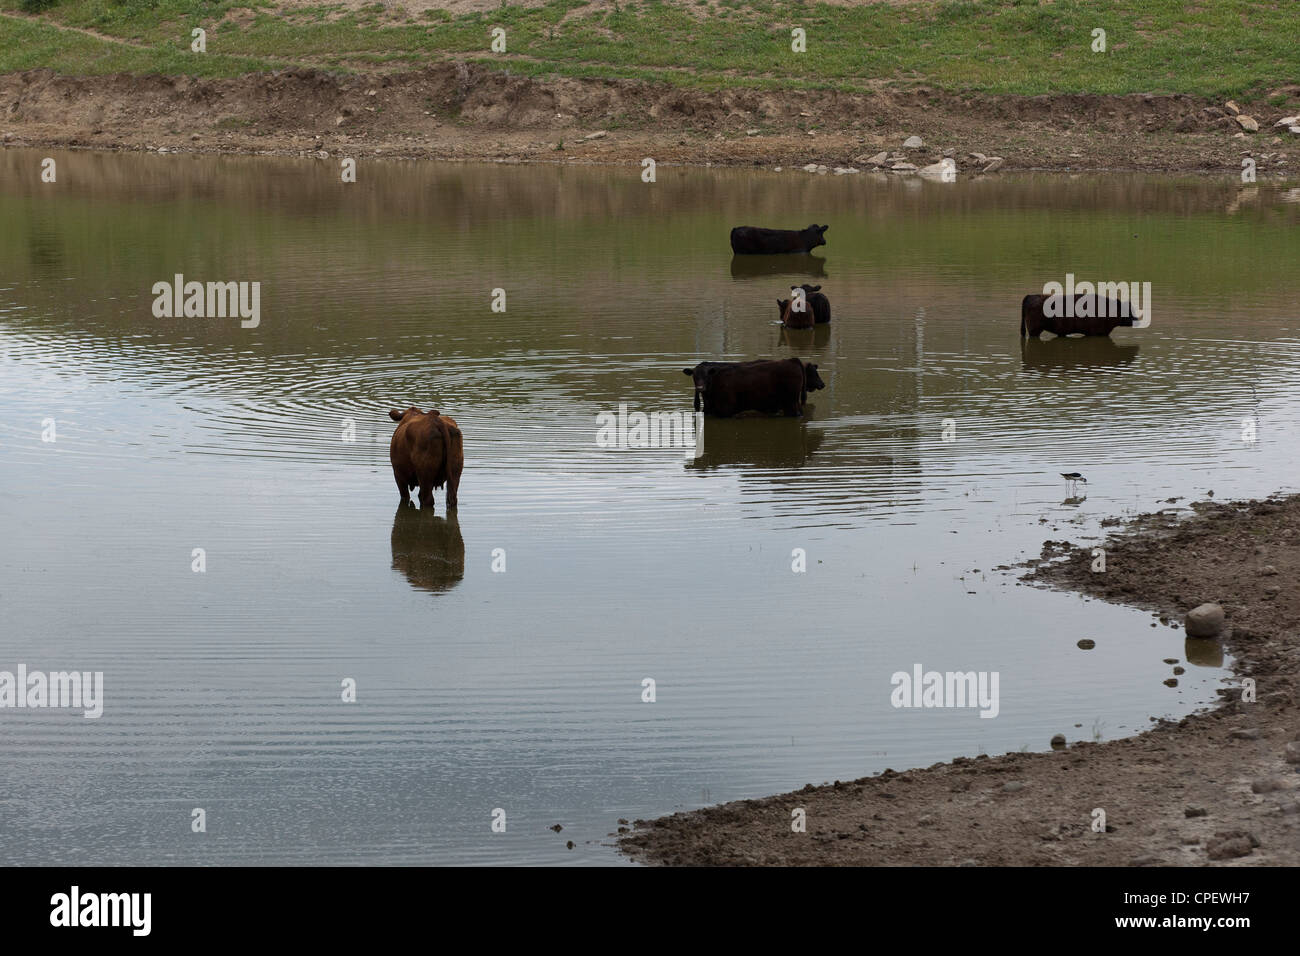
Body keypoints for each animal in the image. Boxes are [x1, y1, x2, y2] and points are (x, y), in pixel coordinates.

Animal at [682, 358, 825, 418]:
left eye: (707, 376)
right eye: (694, 376)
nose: (822, 384)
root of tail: (792, 360)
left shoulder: (724, 411)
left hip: (790, 404)